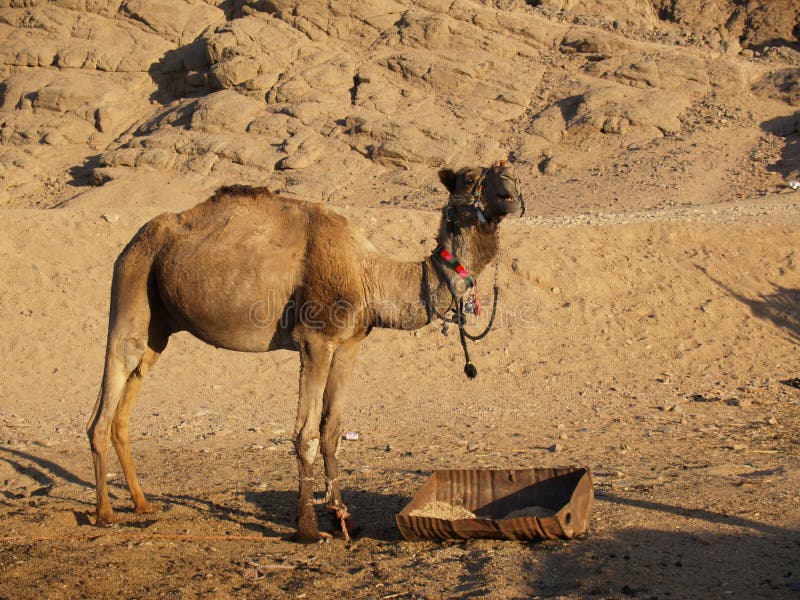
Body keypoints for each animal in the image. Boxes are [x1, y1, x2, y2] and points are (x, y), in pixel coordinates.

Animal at [86, 163, 524, 542]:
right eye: (470, 178)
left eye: (506, 171)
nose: (513, 192)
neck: (368, 273)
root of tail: (132, 242)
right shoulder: (315, 340)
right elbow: (306, 434)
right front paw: (309, 529)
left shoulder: (349, 345)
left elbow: (332, 431)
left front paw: (344, 518)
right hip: (132, 285)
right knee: (108, 394)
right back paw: (105, 513)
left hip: (158, 325)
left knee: (129, 396)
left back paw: (142, 504)